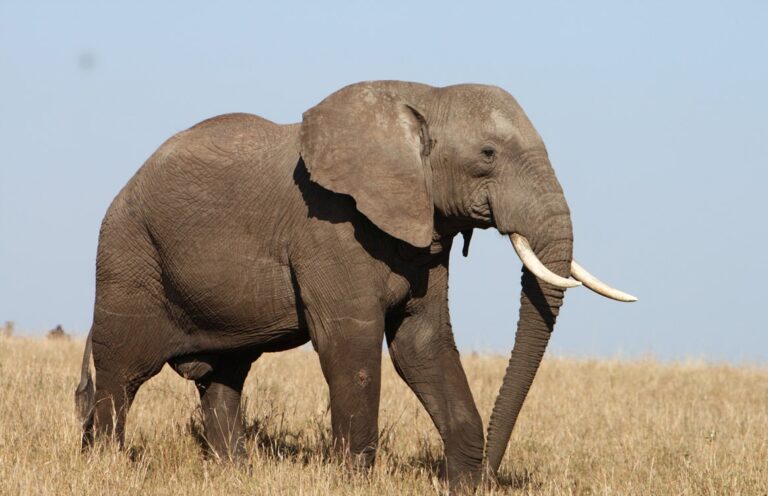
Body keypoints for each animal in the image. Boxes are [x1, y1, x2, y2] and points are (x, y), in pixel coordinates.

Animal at [74, 80, 635, 490]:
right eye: (488, 154)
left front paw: (462, 485)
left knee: (224, 379)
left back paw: (236, 472)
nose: (491, 477)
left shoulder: (424, 233)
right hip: (127, 256)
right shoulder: (329, 229)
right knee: (122, 373)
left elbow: (422, 345)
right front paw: (354, 483)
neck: (422, 98)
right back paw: (107, 466)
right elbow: (351, 344)